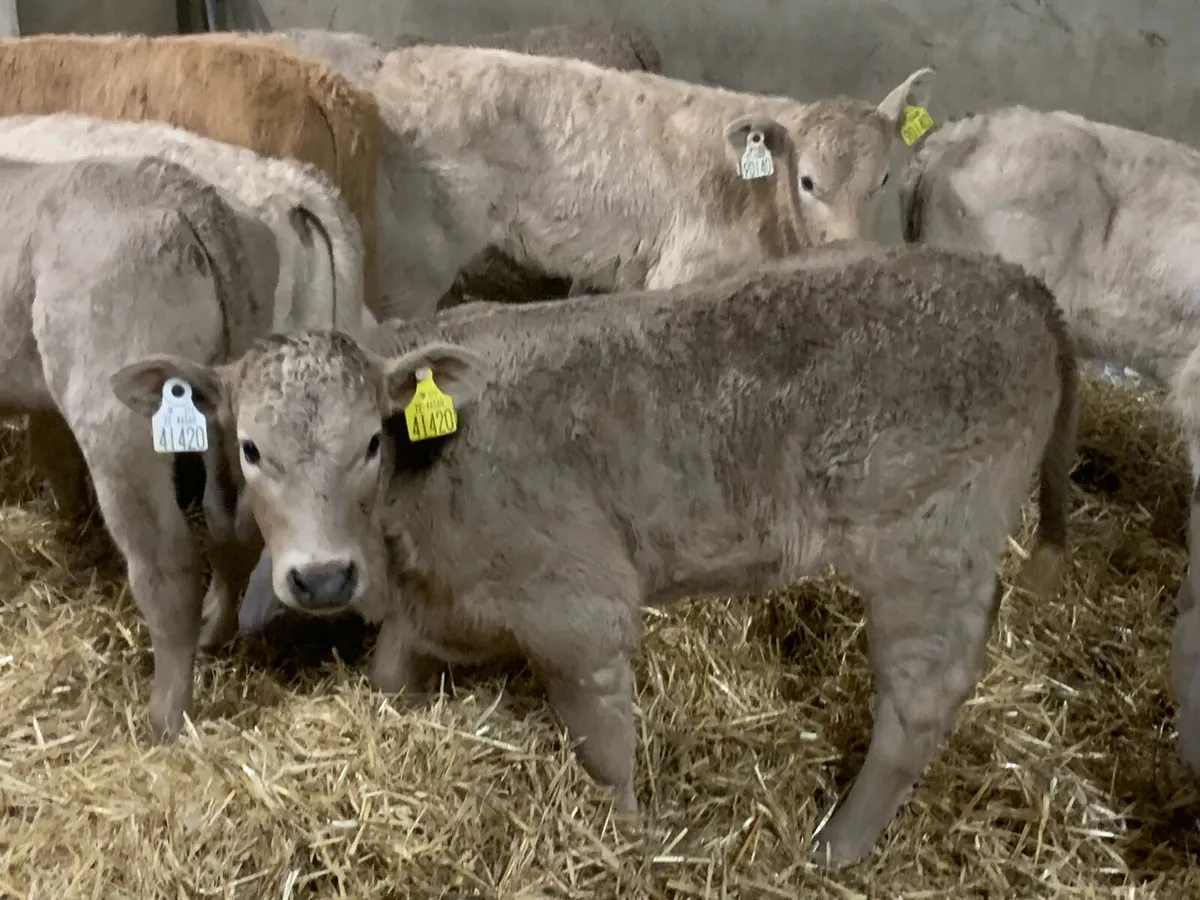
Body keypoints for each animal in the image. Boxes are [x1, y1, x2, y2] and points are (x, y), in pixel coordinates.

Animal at [0, 154, 286, 740]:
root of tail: (184, 192)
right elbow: (52, 452)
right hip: (229, 401)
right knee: (231, 526)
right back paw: (213, 629)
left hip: (117, 417)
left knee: (168, 564)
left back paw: (165, 716)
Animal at [114, 242, 1079, 867]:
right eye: (249, 449)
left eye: (370, 444)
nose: (321, 576)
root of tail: (1020, 283)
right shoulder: (441, 601)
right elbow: (391, 675)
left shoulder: (576, 611)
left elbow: (606, 747)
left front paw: (627, 839)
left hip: (928, 547)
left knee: (919, 699)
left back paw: (837, 848)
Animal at [266, 31, 937, 319]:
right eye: (807, 183)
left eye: (881, 180)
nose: (852, 248)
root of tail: (384, 73)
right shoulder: (682, 271)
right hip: (411, 256)